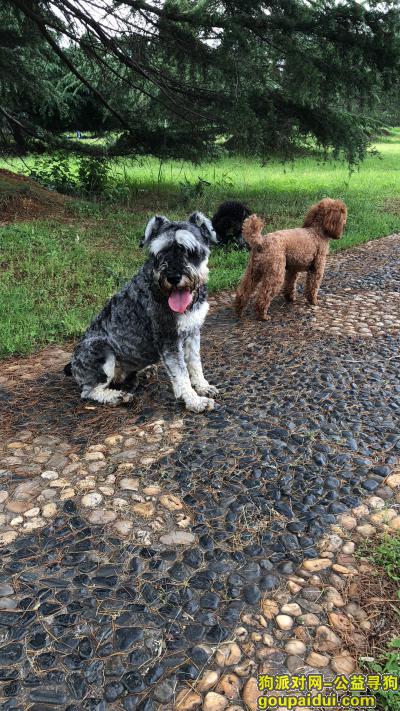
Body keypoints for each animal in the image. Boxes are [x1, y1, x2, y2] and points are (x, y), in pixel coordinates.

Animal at [65, 210, 219, 412]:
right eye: (160, 253)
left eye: (190, 250)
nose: (173, 277)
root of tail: (72, 365)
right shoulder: (168, 338)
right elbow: (181, 373)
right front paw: (194, 400)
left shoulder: (192, 331)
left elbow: (195, 362)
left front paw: (203, 386)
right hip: (101, 350)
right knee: (89, 391)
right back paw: (117, 396)